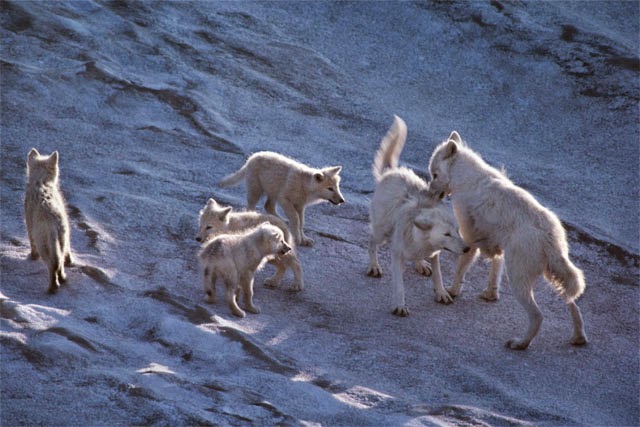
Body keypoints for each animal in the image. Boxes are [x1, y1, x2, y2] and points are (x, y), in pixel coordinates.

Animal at [24, 148, 73, 293]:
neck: (41, 181)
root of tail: (51, 221)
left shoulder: (29, 223)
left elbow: (31, 241)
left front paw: (32, 256)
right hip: (62, 236)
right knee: (60, 260)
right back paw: (63, 278)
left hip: (44, 243)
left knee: (52, 265)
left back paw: (52, 287)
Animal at [368, 116, 470, 316]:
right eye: (447, 234)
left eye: (457, 231)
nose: (467, 248)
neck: (422, 243)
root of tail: (391, 171)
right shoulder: (397, 256)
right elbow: (399, 285)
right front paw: (400, 305)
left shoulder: (435, 254)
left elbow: (438, 275)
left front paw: (441, 293)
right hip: (382, 232)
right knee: (371, 240)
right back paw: (374, 266)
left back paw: (420, 264)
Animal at [428, 131, 588, 349]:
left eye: (434, 174)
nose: (429, 192)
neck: (466, 176)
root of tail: (549, 237)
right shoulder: (496, 246)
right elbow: (495, 270)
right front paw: (490, 295)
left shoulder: (469, 239)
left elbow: (461, 268)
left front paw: (452, 291)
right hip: (555, 274)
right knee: (574, 305)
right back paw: (578, 337)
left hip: (519, 277)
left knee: (537, 316)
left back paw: (520, 343)